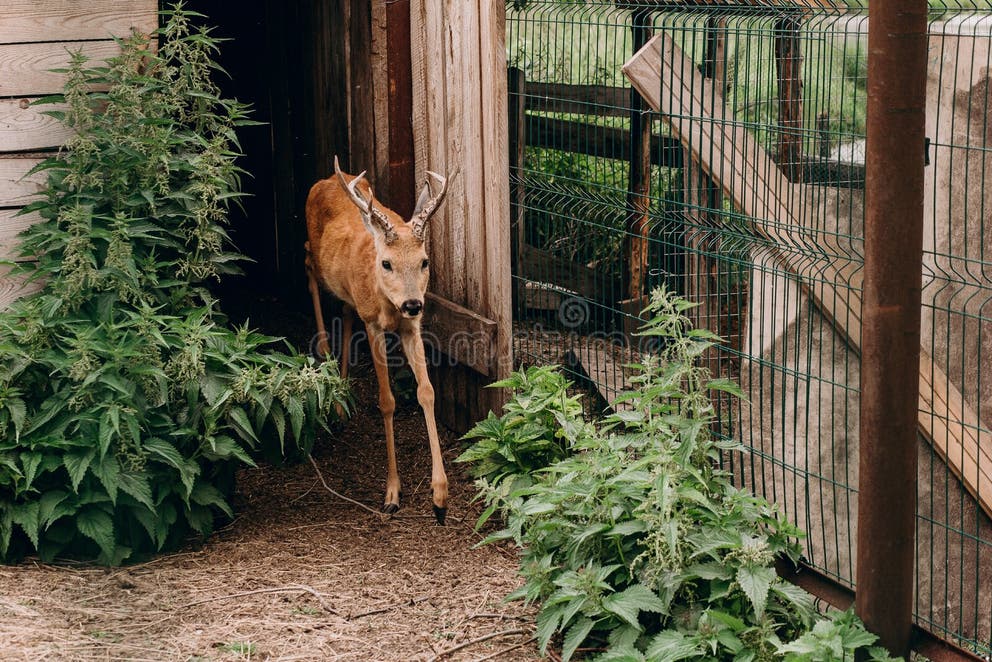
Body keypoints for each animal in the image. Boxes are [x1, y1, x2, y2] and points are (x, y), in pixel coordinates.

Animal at [305, 157, 450, 524]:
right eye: (387, 263)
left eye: (424, 261)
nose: (413, 303)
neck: (388, 304)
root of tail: (325, 181)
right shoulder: (373, 324)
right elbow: (387, 400)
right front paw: (392, 494)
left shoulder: (411, 327)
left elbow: (427, 392)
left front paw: (440, 497)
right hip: (314, 253)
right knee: (309, 265)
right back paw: (324, 348)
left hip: (348, 292)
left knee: (344, 306)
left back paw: (340, 399)